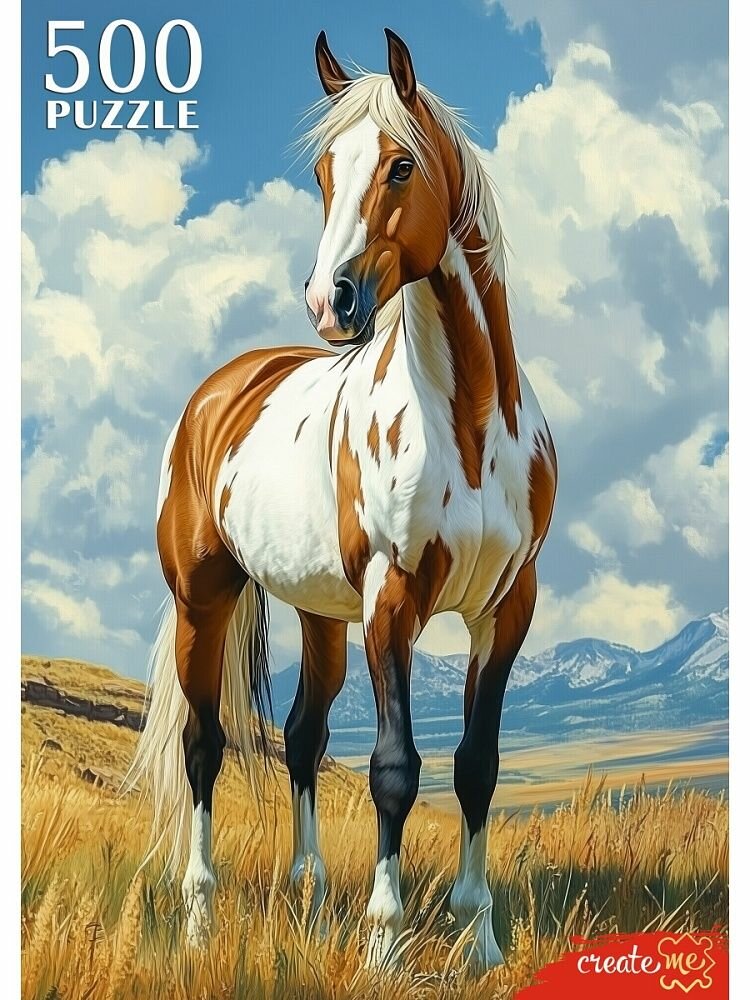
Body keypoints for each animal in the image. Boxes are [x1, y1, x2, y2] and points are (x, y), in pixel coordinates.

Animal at [128, 28, 557, 972]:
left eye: (400, 166)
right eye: (326, 169)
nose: (332, 301)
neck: (470, 419)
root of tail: (222, 390)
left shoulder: (506, 607)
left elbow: (477, 764)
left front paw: (481, 940)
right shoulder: (393, 599)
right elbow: (394, 767)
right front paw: (384, 944)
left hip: (321, 612)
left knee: (300, 736)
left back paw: (310, 894)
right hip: (204, 599)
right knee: (204, 746)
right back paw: (201, 921)